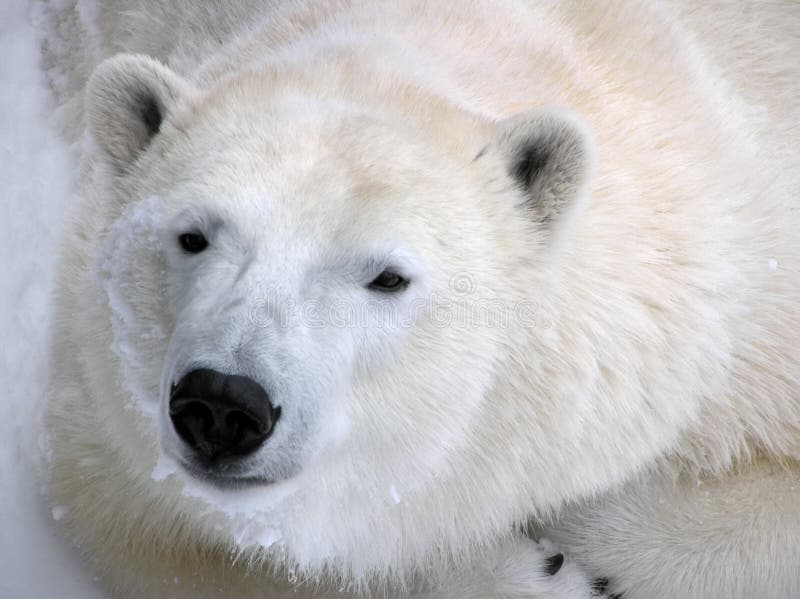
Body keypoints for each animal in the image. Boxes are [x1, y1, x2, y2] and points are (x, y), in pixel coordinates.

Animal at [39, 1, 799, 598]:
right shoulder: (103, 388)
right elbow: (149, 534)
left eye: (388, 276)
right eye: (193, 236)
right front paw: (521, 573)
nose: (224, 404)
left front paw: (583, 533)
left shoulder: (736, 286)